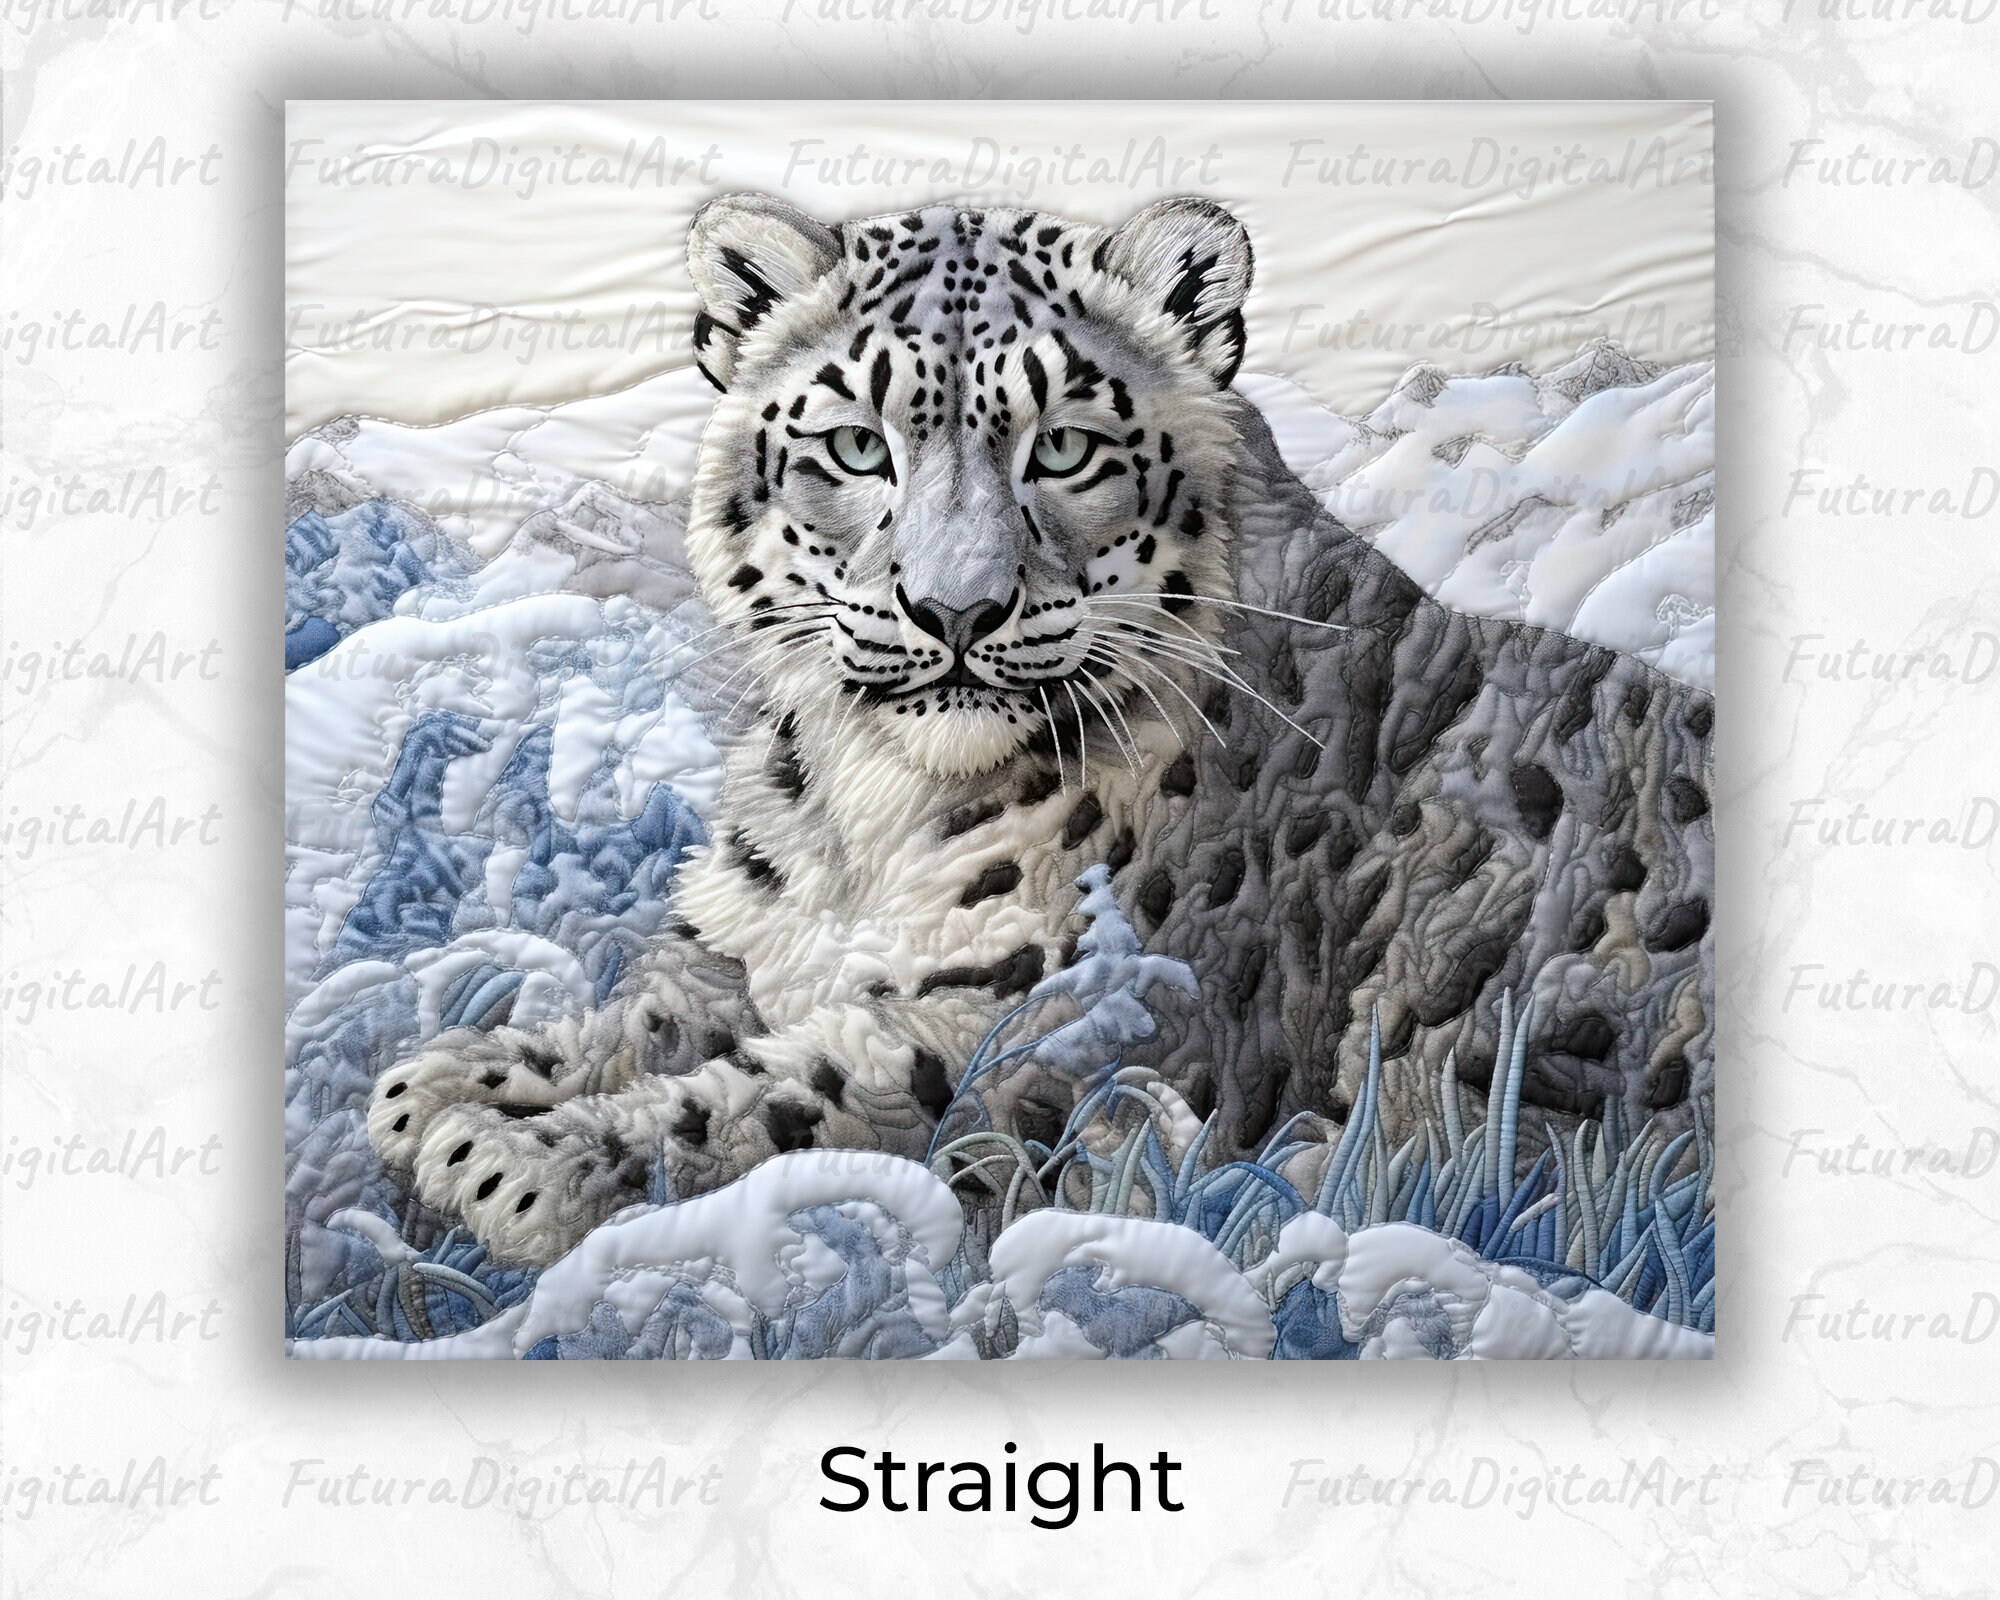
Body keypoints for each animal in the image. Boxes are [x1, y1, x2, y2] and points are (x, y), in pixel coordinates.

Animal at [365, 192, 1716, 1268]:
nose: (955, 608)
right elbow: (636, 1020)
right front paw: (439, 1083)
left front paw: (520, 1157)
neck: (865, 811)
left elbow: (788, 1089)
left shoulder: (1041, 1013)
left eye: (1063, 444)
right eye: (854, 444)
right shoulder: (737, 952)